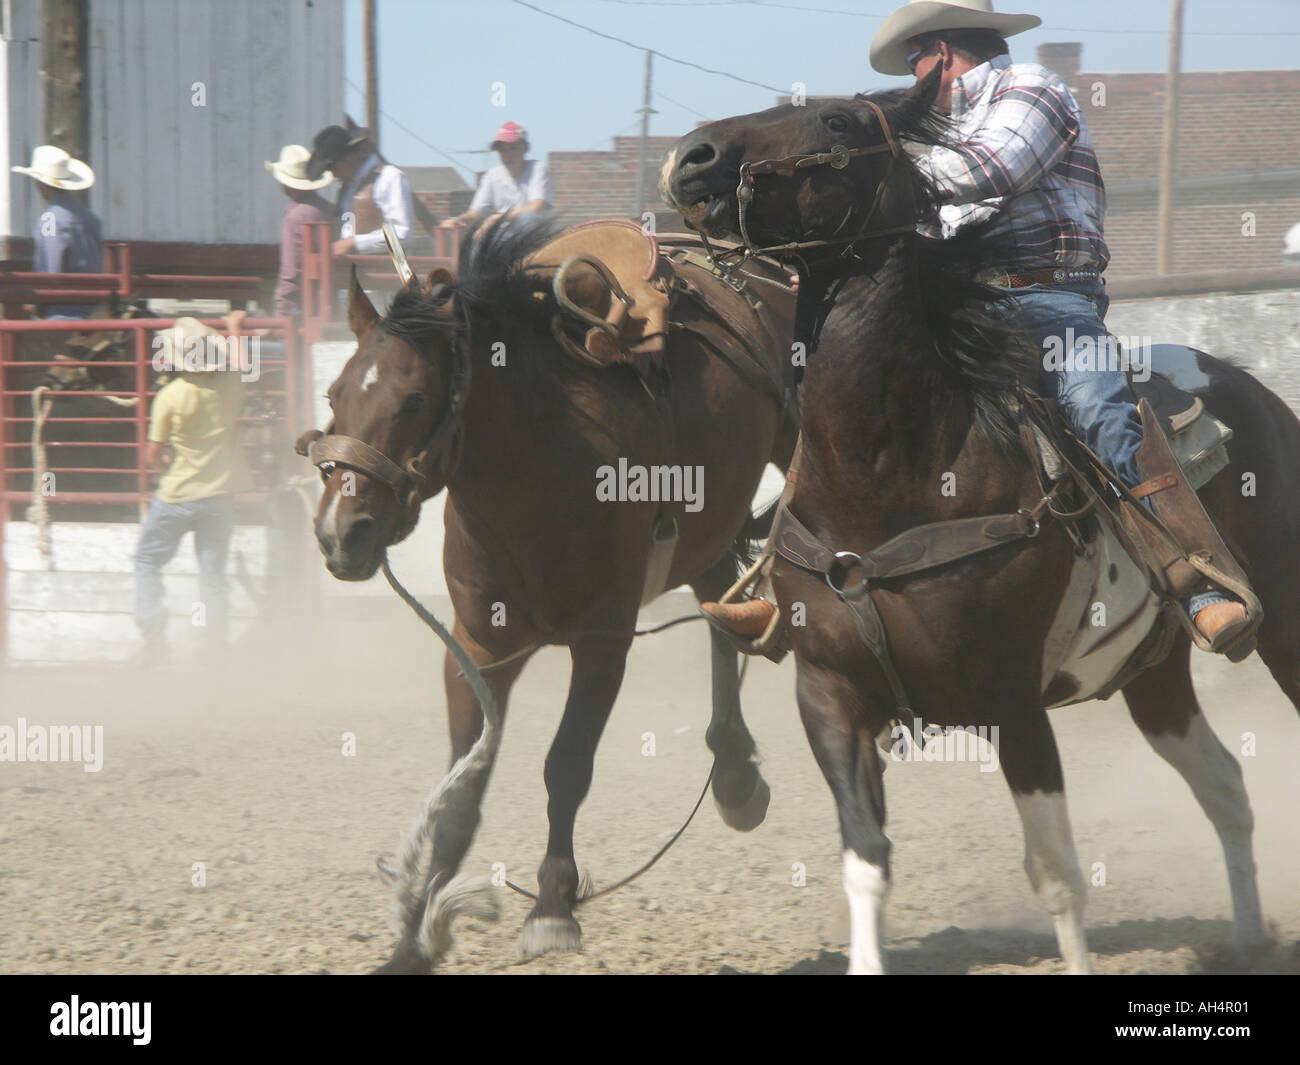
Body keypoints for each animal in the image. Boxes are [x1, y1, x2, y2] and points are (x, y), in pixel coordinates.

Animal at [299, 227, 795, 972]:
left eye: (414, 400)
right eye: (334, 393)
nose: (340, 532)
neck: (538, 469)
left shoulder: (602, 643)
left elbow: (566, 766)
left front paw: (554, 907)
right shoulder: (477, 649)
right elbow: (459, 793)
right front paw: (412, 942)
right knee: (717, 601)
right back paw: (736, 775)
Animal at [660, 77, 1300, 972]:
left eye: (838, 121)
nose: (693, 157)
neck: (890, 480)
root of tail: (1257, 392)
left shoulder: (1011, 700)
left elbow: (1058, 874)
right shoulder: (829, 692)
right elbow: (865, 860)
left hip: (1286, 625)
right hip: (1156, 673)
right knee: (1224, 786)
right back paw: (1244, 939)